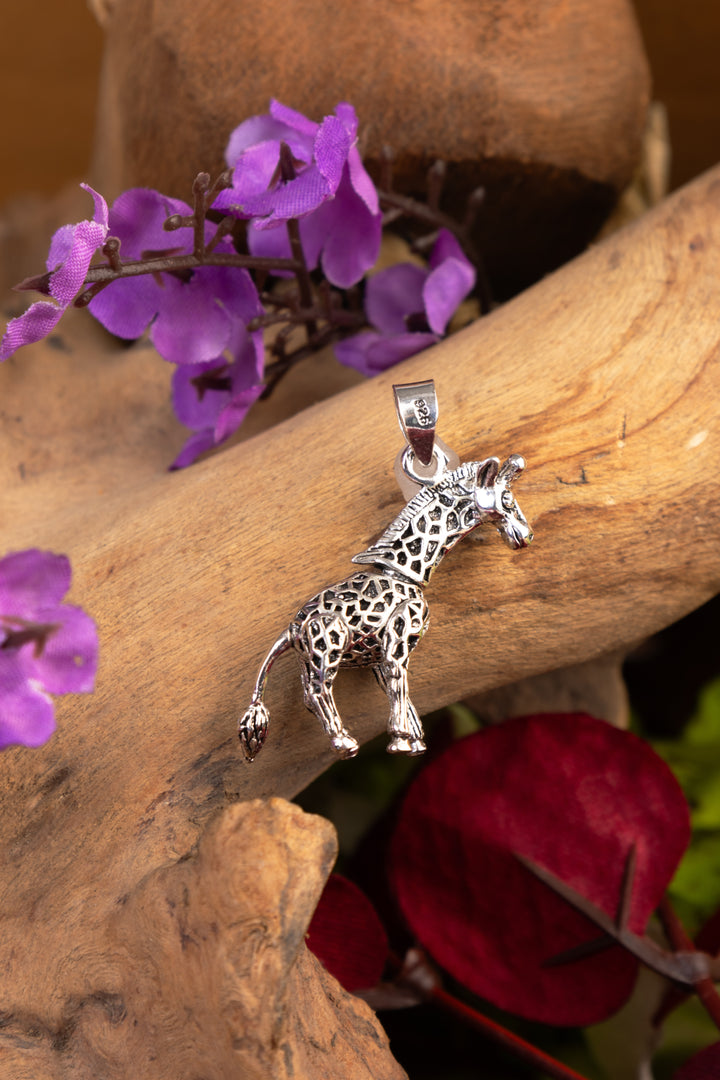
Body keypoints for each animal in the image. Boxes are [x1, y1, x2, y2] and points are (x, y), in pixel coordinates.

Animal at [238, 454, 532, 761]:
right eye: (507, 499)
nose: (525, 536)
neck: (405, 572)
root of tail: (291, 630)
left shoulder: (380, 655)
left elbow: (396, 690)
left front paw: (414, 742)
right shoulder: (398, 642)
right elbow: (398, 683)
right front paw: (401, 740)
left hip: (307, 660)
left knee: (309, 695)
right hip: (327, 649)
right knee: (320, 690)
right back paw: (344, 743)